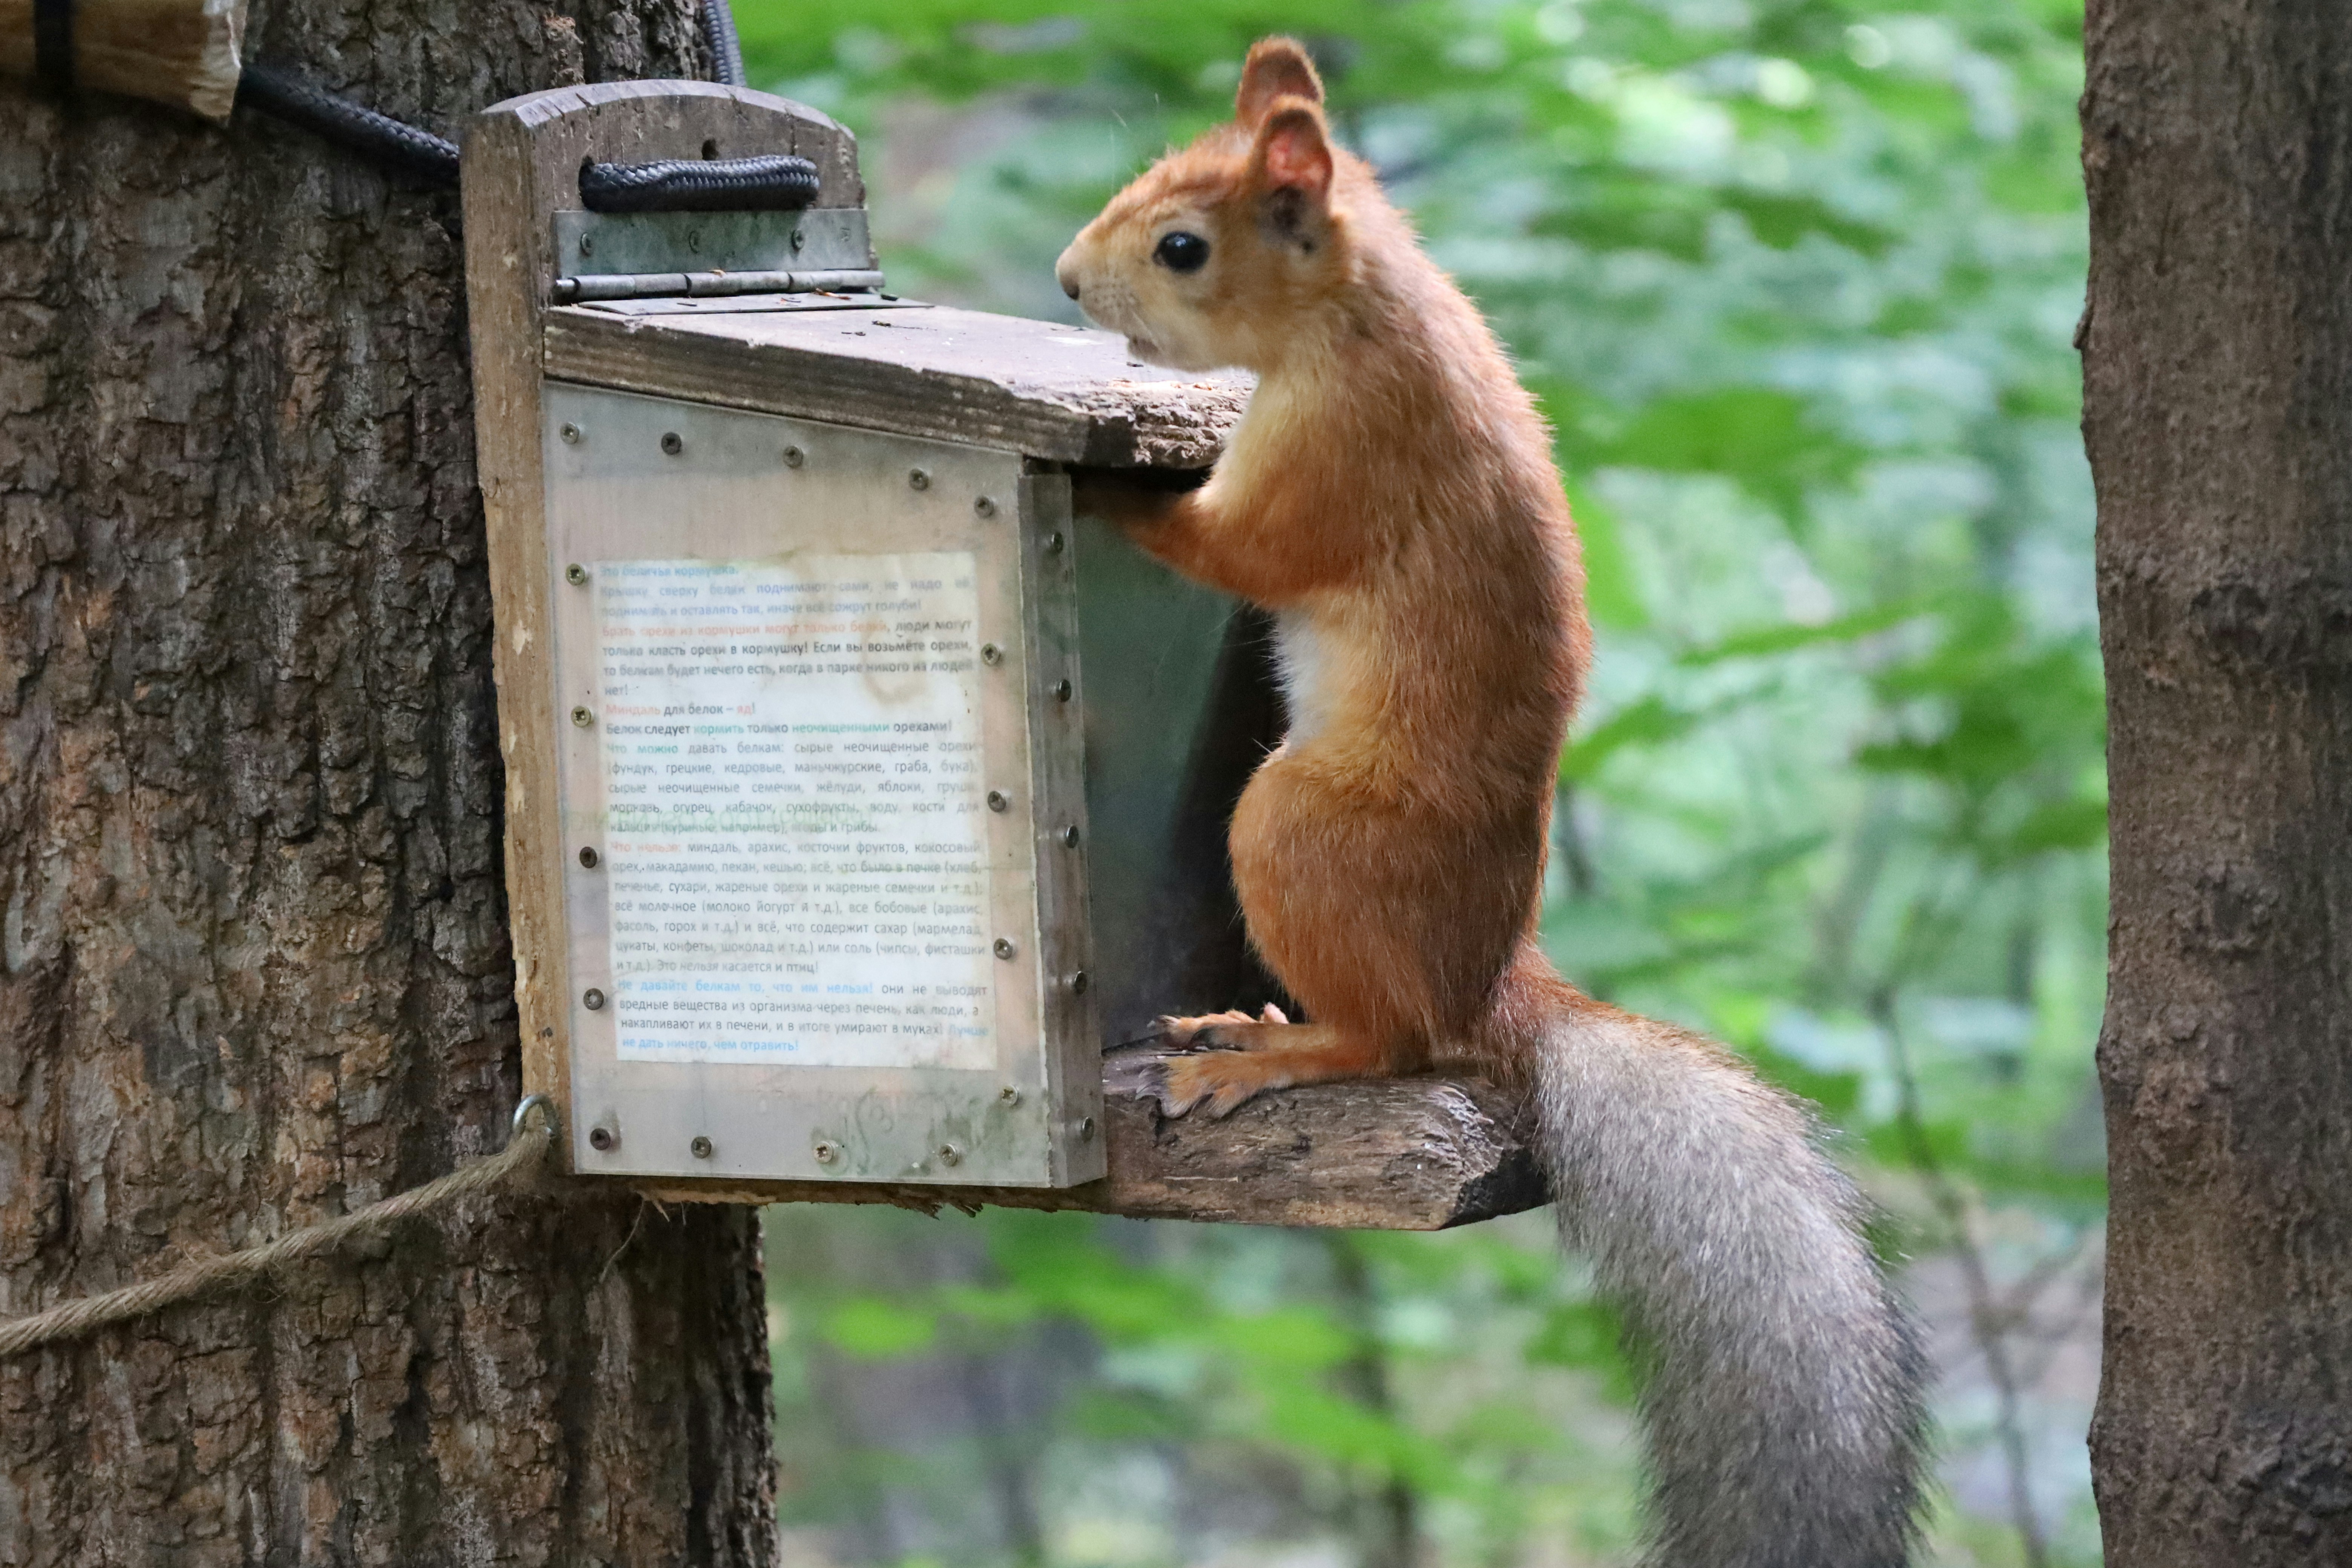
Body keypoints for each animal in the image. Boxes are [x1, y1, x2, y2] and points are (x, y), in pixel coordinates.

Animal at [1056, 38, 1928, 1568]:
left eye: (1182, 247)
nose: (1060, 283)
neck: (1358, 313)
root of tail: (1493, 985)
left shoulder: (1345, 451)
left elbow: (1242, 548)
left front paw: (1111, 492)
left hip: (1290, 829)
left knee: (1394, 1043)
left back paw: (1275, 1053)